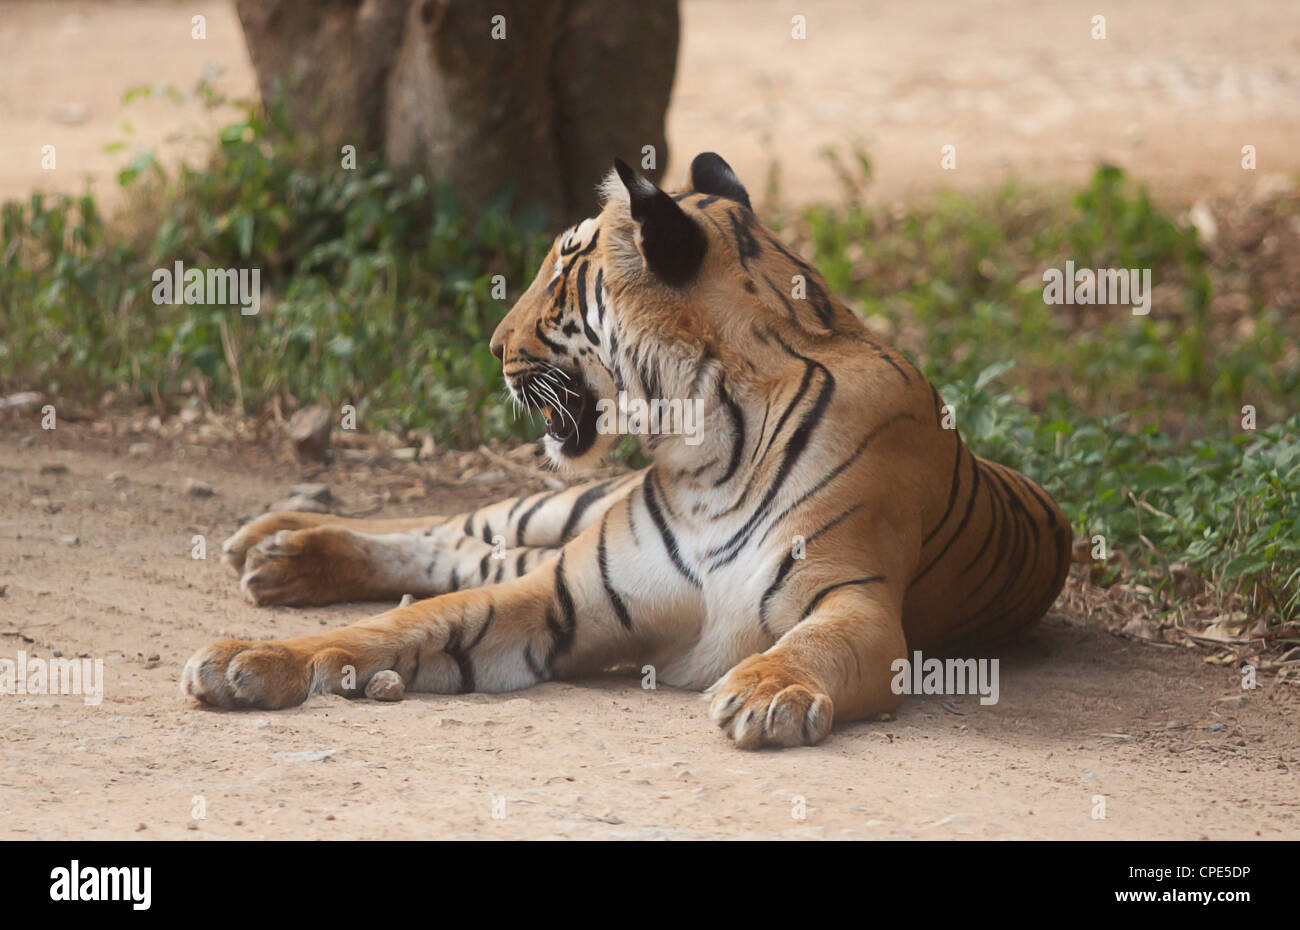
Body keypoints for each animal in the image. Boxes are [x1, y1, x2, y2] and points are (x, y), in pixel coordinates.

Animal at [182, 152, 1072, 749]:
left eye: (559, 274)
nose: (490, 344)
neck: (712, 443)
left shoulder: (856, 599)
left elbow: (812, 643)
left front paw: (766, 692)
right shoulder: (562, 594)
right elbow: (397, 625)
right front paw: (245, 658)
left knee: (462, 551)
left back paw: (277, 555)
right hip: (561, 508)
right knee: (445, 531)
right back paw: (276, 542)